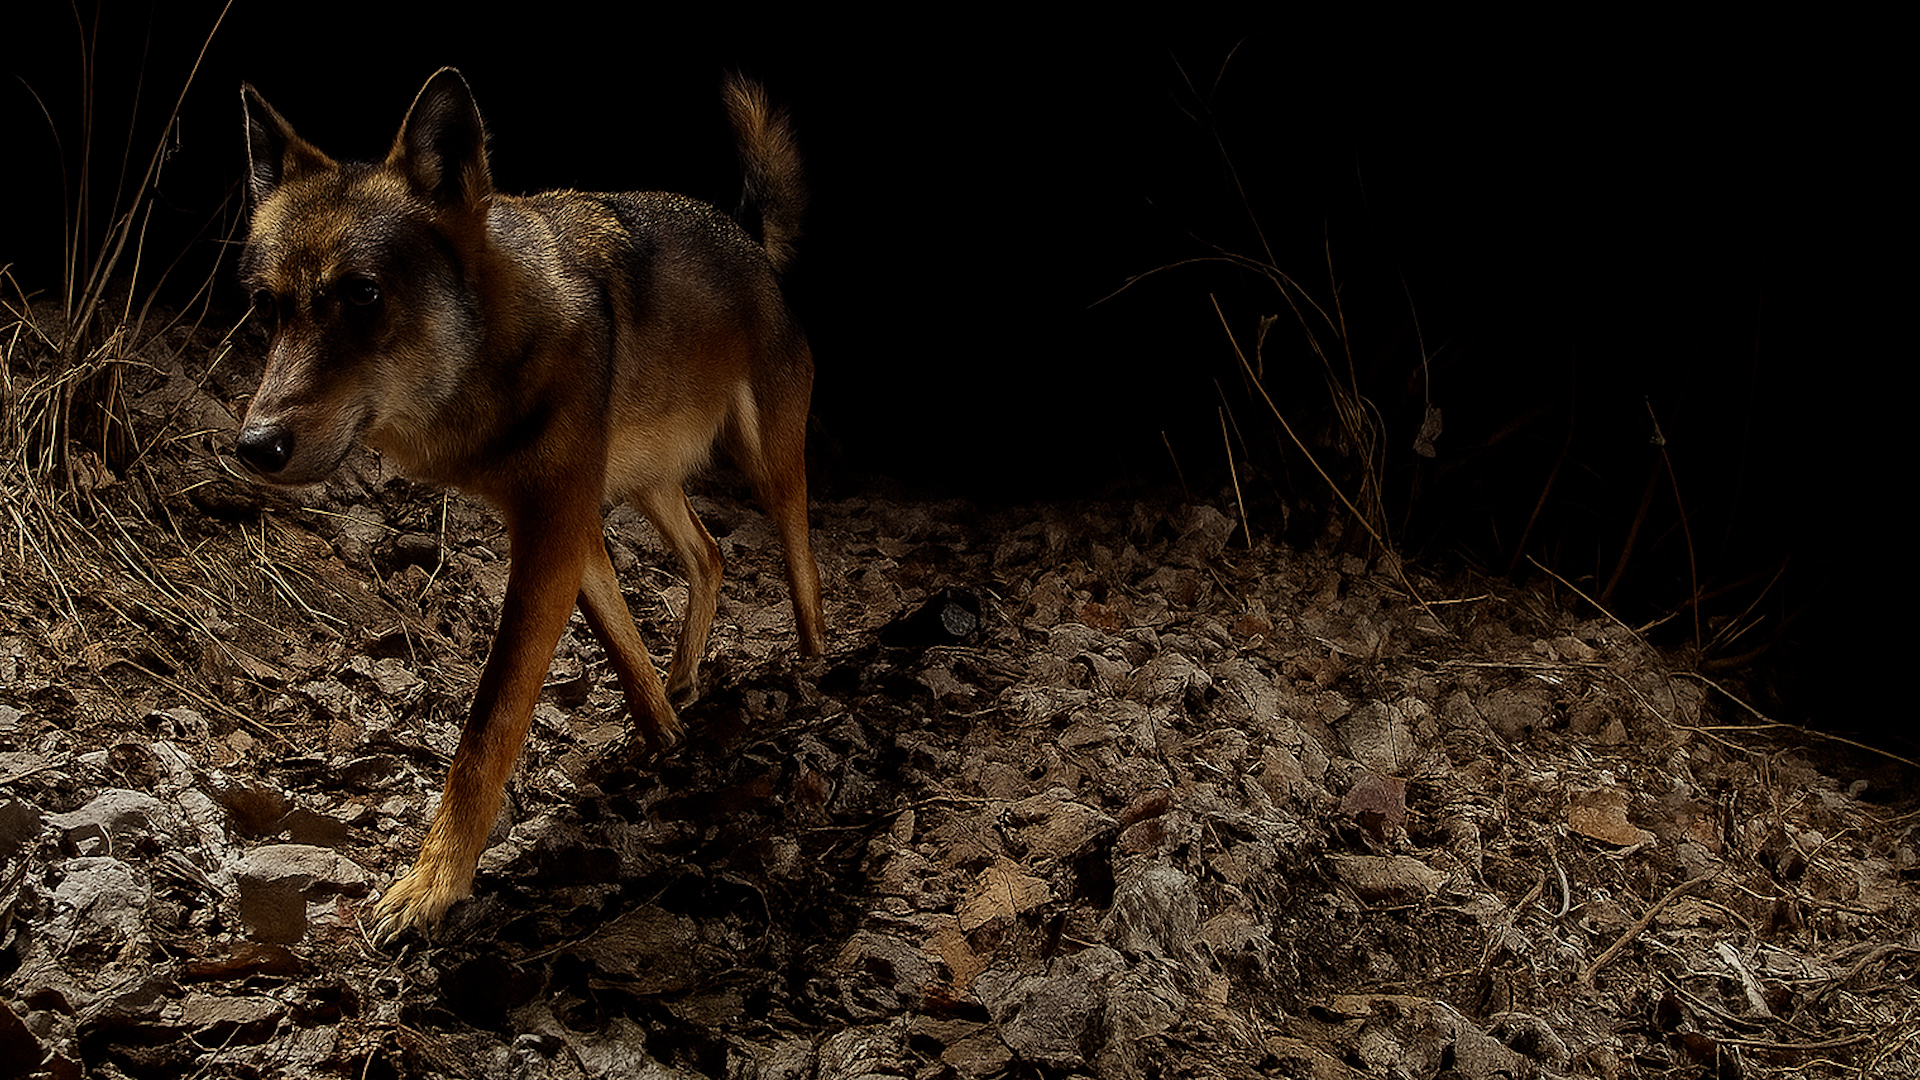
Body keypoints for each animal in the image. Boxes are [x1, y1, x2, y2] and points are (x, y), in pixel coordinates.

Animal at [235, 68, 826, 942]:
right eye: (267, 308)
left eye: (364, 295)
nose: (255, 445)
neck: (497, 362)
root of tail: (745, 235)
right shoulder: (565, 523)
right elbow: (622, 654)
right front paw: (665, 735)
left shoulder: (553, 528)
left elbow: (490, 727)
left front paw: (433, 884)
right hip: (646, 483)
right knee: (712, 556)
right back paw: (688, 679)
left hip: (769, 469)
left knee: (801, 567)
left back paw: (820, 672)